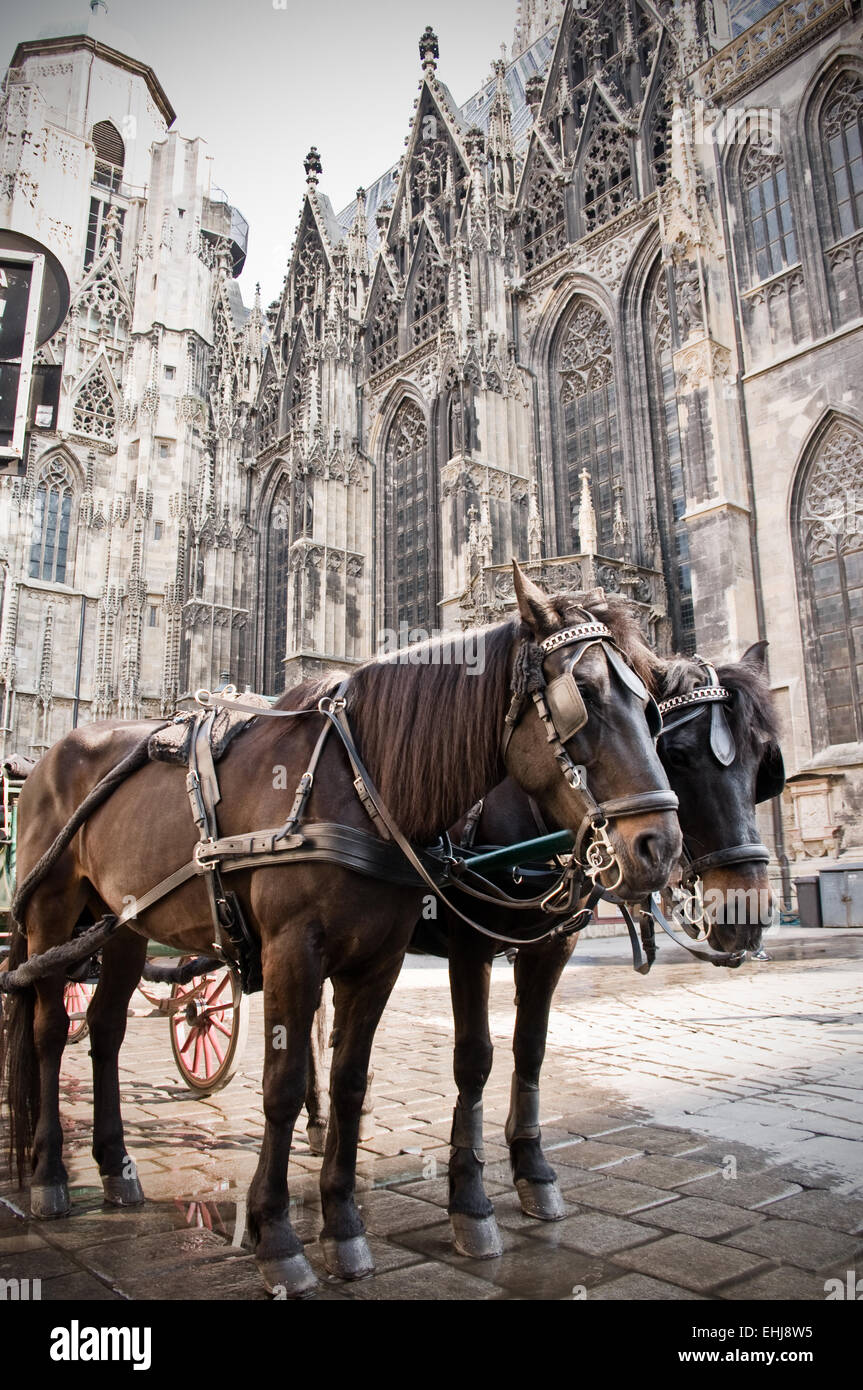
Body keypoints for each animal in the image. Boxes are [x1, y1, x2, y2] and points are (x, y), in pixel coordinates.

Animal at [0, 563, 681, 1298]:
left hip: (120, 925)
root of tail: (48, 758)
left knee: (104, 1031)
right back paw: (50, 1177)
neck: (358, 782)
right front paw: (279, 1238)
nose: (659, 846)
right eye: (582, 695)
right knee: (46, 1030)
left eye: (649, 703)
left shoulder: (386, 960)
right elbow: (288, 1080)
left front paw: (346, 1228)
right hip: (50, 916)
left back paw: (116, 1169)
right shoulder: (313, 950)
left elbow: (361, 1076)